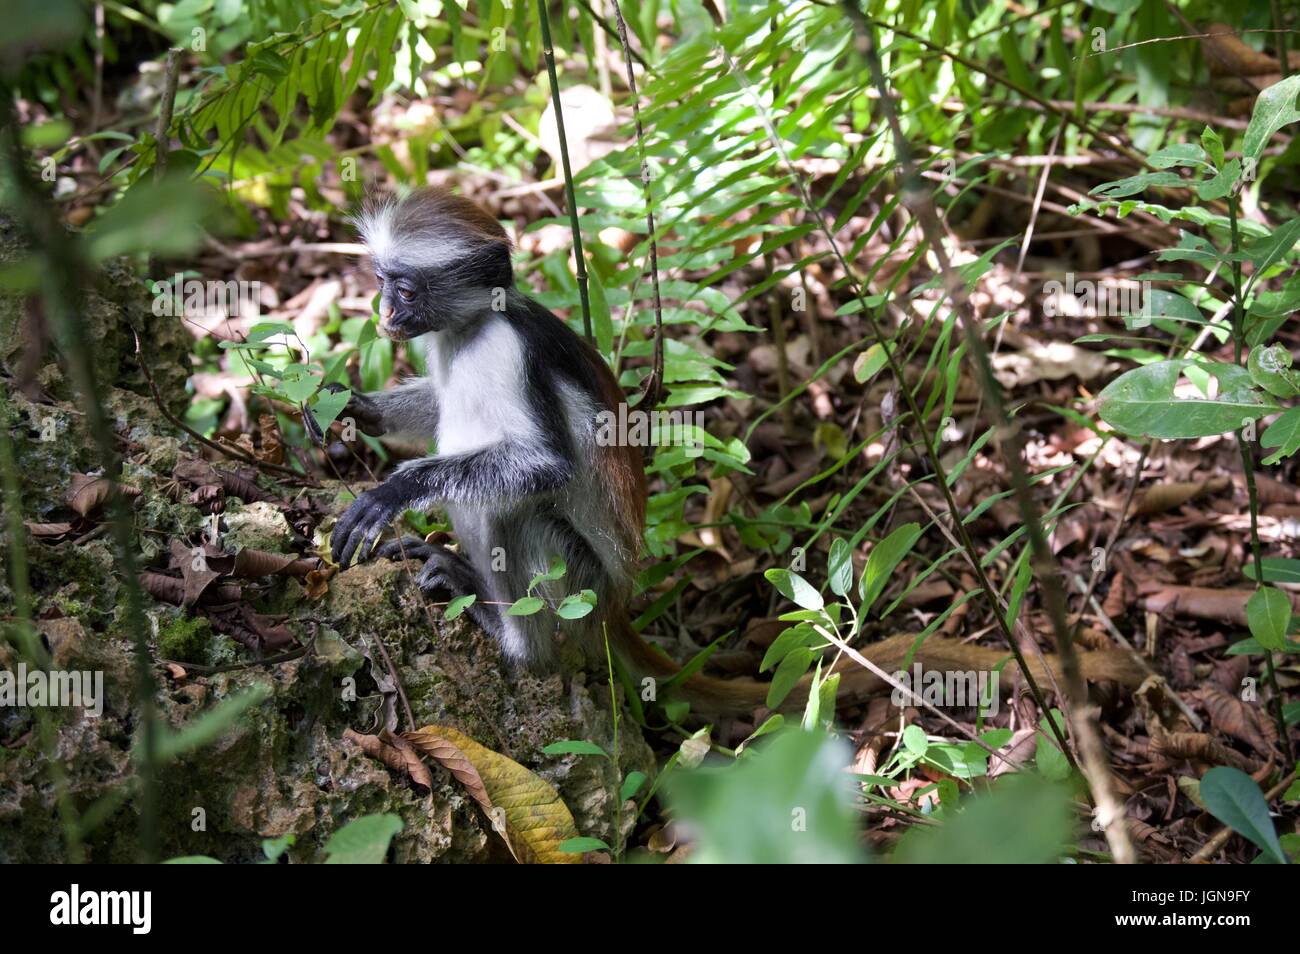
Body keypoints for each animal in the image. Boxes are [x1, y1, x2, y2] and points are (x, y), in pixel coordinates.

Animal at [329, 186, 1145, 716]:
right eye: (383, 285)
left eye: (405, 288)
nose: (384, 313)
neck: (470, 330)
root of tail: (618, 602)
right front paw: (349, 408)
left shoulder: (507, 348)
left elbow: (544, 467)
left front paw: (393, 489)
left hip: (580, 582)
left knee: (513, 512)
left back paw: (513, 640)